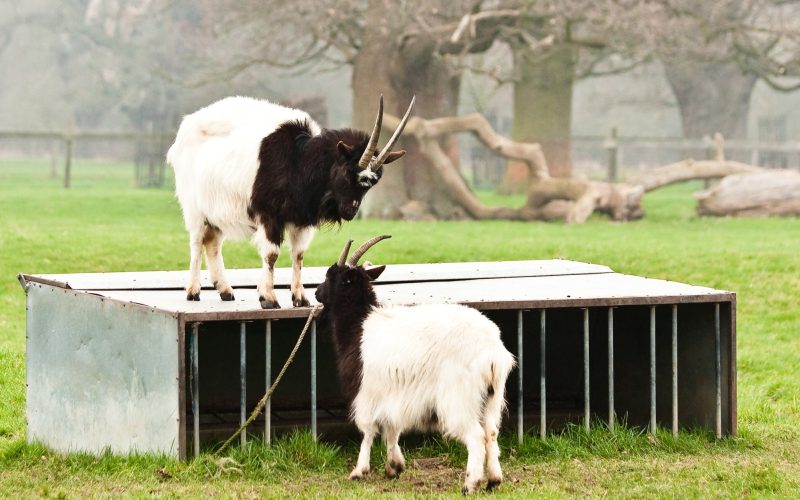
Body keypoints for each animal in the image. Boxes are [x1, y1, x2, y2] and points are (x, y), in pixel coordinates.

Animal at [166, 95, 414, 308]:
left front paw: (300, 298)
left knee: (212, 243)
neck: (298, 161)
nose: (350, 211)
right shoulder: (269, 216)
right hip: (194, 209)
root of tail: (187, 126)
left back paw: (225, 290)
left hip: (218, 212)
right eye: (347, 172)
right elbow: (272, 254)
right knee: (197, 242)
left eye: (373, 181)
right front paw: (268, 298)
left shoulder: (301, 219)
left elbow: (299, 255)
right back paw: (193, 291)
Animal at [314, 236, 516, 494]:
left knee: (476, 436)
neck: (359, 326)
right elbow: (392, 429)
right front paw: (394, 467)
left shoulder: (366, 392)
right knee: (491, 432)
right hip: (491, 398)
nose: (317, 293)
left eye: (331, 275)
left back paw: (470, 484)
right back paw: (493, 481)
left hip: (459, 398)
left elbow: (368, 430)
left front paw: (359, 471)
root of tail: (491, 352)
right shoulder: (391, 395)